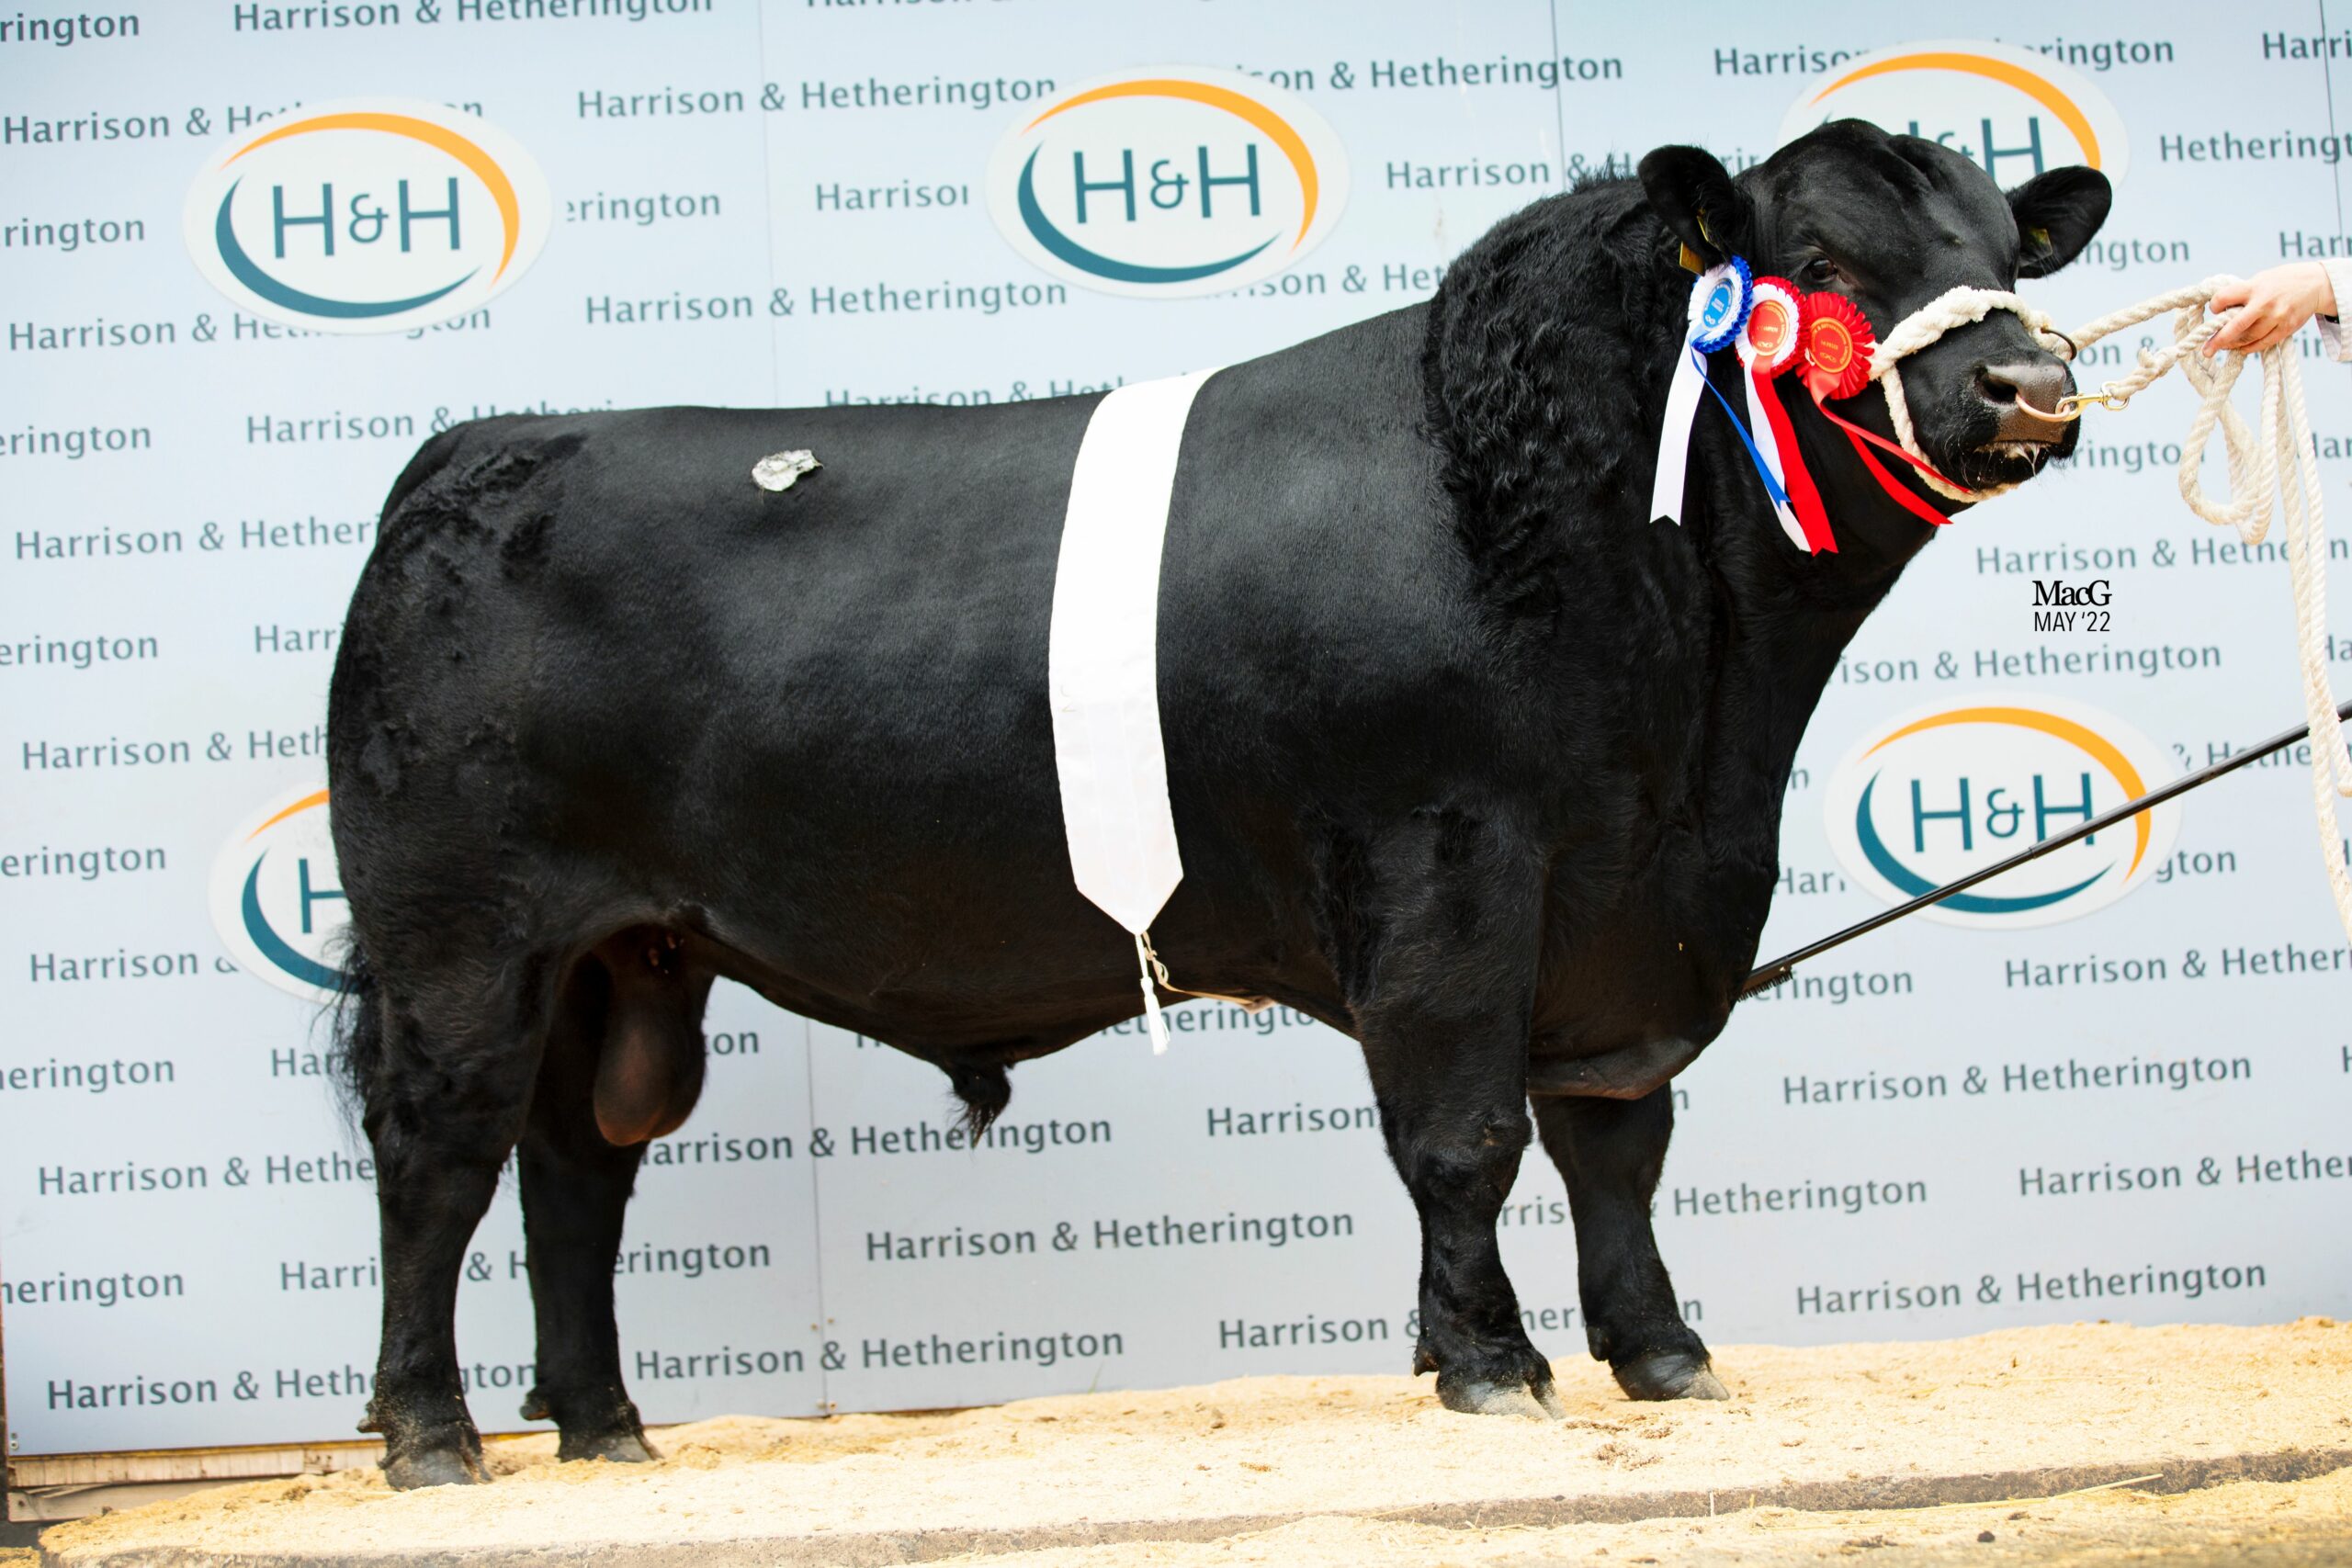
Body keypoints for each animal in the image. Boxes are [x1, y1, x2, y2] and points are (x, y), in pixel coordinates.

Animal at [324, 119, 2110, 1487]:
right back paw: (431, 1436)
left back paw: (605, 1427)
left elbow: (1623, 1139)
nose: (2031, 381)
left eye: (2007, 257)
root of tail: (474, 454)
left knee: (574, 1161)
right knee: (440, 1151)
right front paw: (1490, 1360)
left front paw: (1663, 1352)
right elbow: (1465, 1131)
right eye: (1820, 262)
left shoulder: (1626, 912)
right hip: (458, 933)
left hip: (620, 951)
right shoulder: (1449, 860)